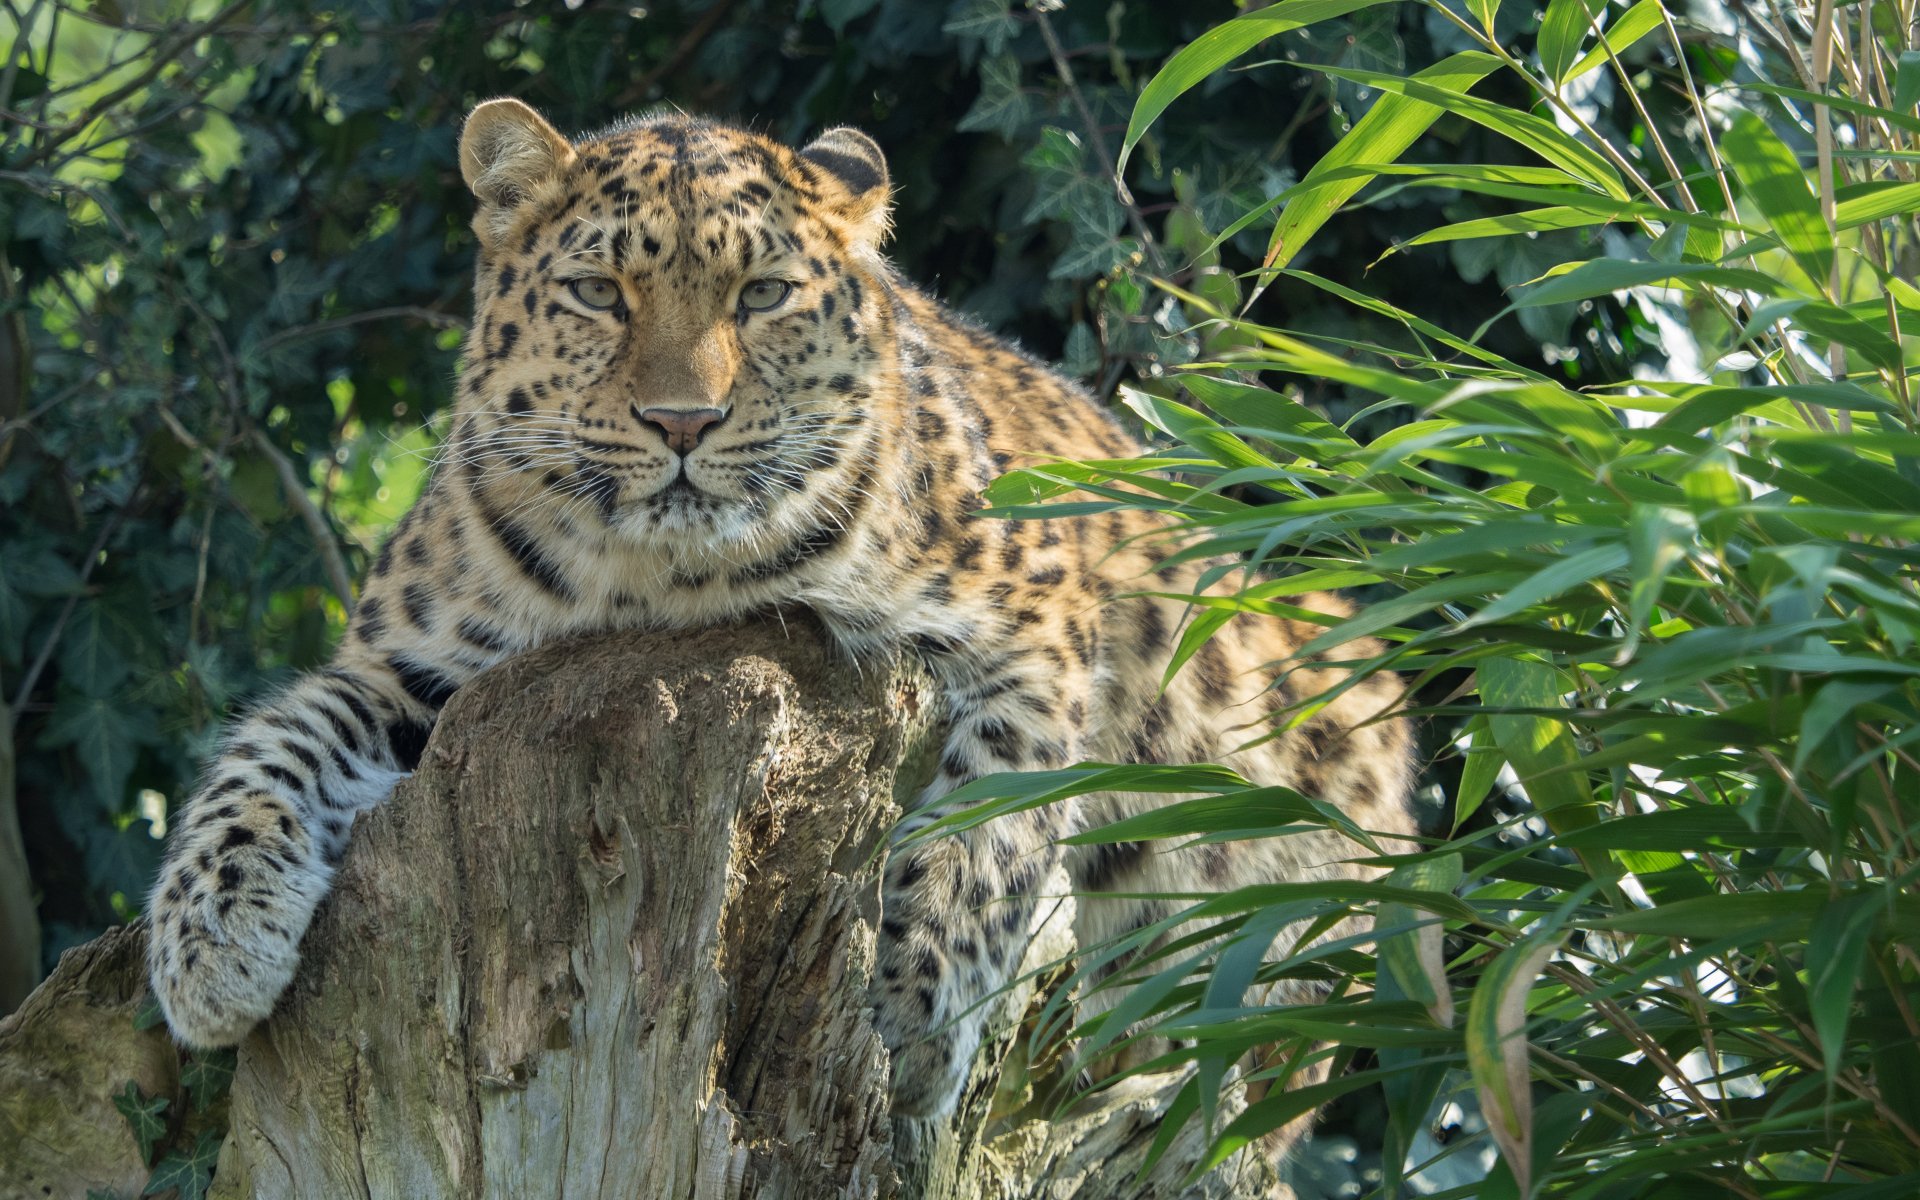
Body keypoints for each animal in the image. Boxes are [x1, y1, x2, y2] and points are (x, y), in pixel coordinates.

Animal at [145, 98, 1416, 1128]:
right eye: (600, 294)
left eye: (760, 297)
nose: (682, 422)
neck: (662, 581)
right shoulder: (414, 669)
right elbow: (271, 746)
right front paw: (208, 947)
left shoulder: (1036, 613)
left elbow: (991, 824)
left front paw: (910, 1016)